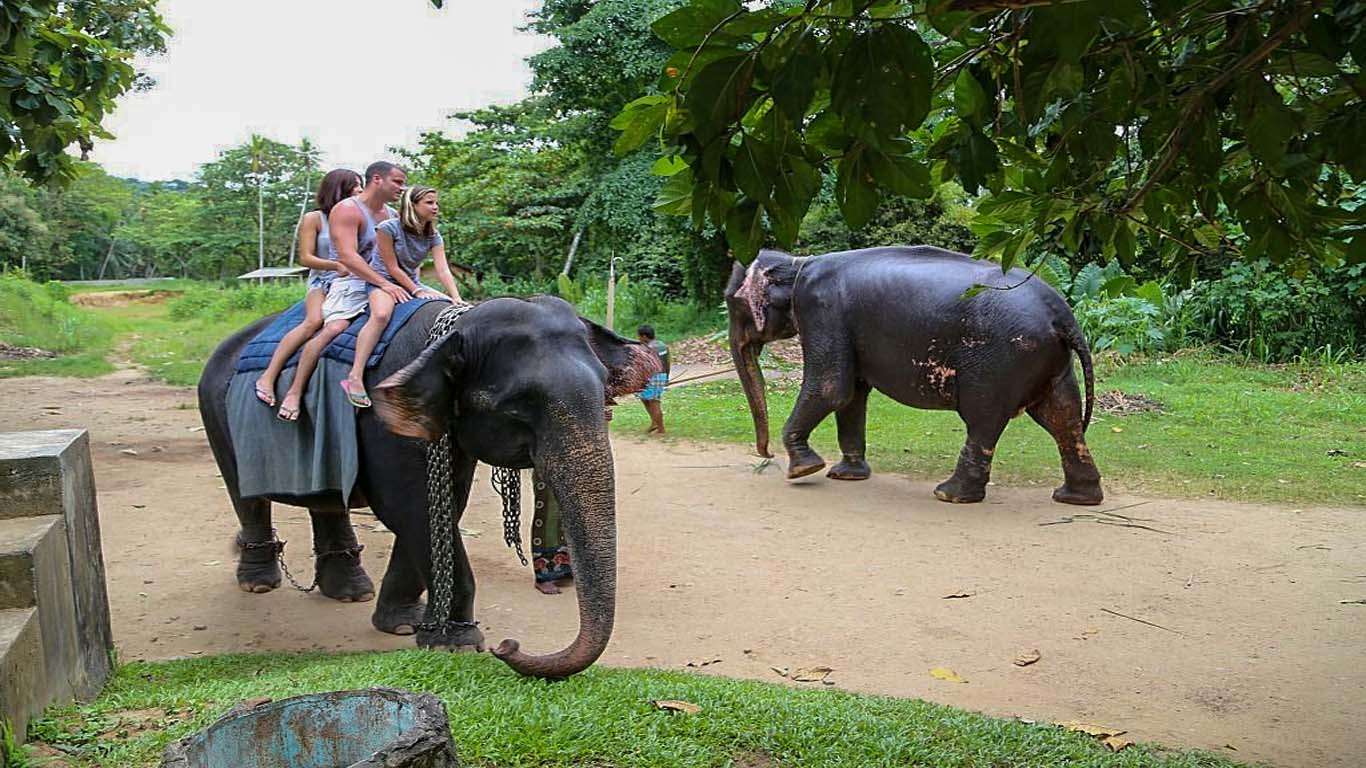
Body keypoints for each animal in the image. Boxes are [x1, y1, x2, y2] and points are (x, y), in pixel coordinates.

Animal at [198, 296, 660, 678]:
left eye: (604, 392)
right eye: (516, 407)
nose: (507, 647)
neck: (457, 326)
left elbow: (443, 504)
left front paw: (405, 624)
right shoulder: (383, 418)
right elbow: (409, 506)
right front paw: (455, 644)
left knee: (326, 503)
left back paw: (350, 592)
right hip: (215, 412)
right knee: (247, 496)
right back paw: (259, 584)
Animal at [726, 246, 1103, 506]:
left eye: (733, 305)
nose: (765, 456)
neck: (797, 262)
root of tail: (1062, 313)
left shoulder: (821, 310)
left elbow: (832, 387)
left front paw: (803, 470)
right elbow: (852, 395)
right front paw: (845, 476)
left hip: (1001, 357)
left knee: (983, 418)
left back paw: (949, 495)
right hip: (1048, 359)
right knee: (1062, 418)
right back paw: (1075, 498)